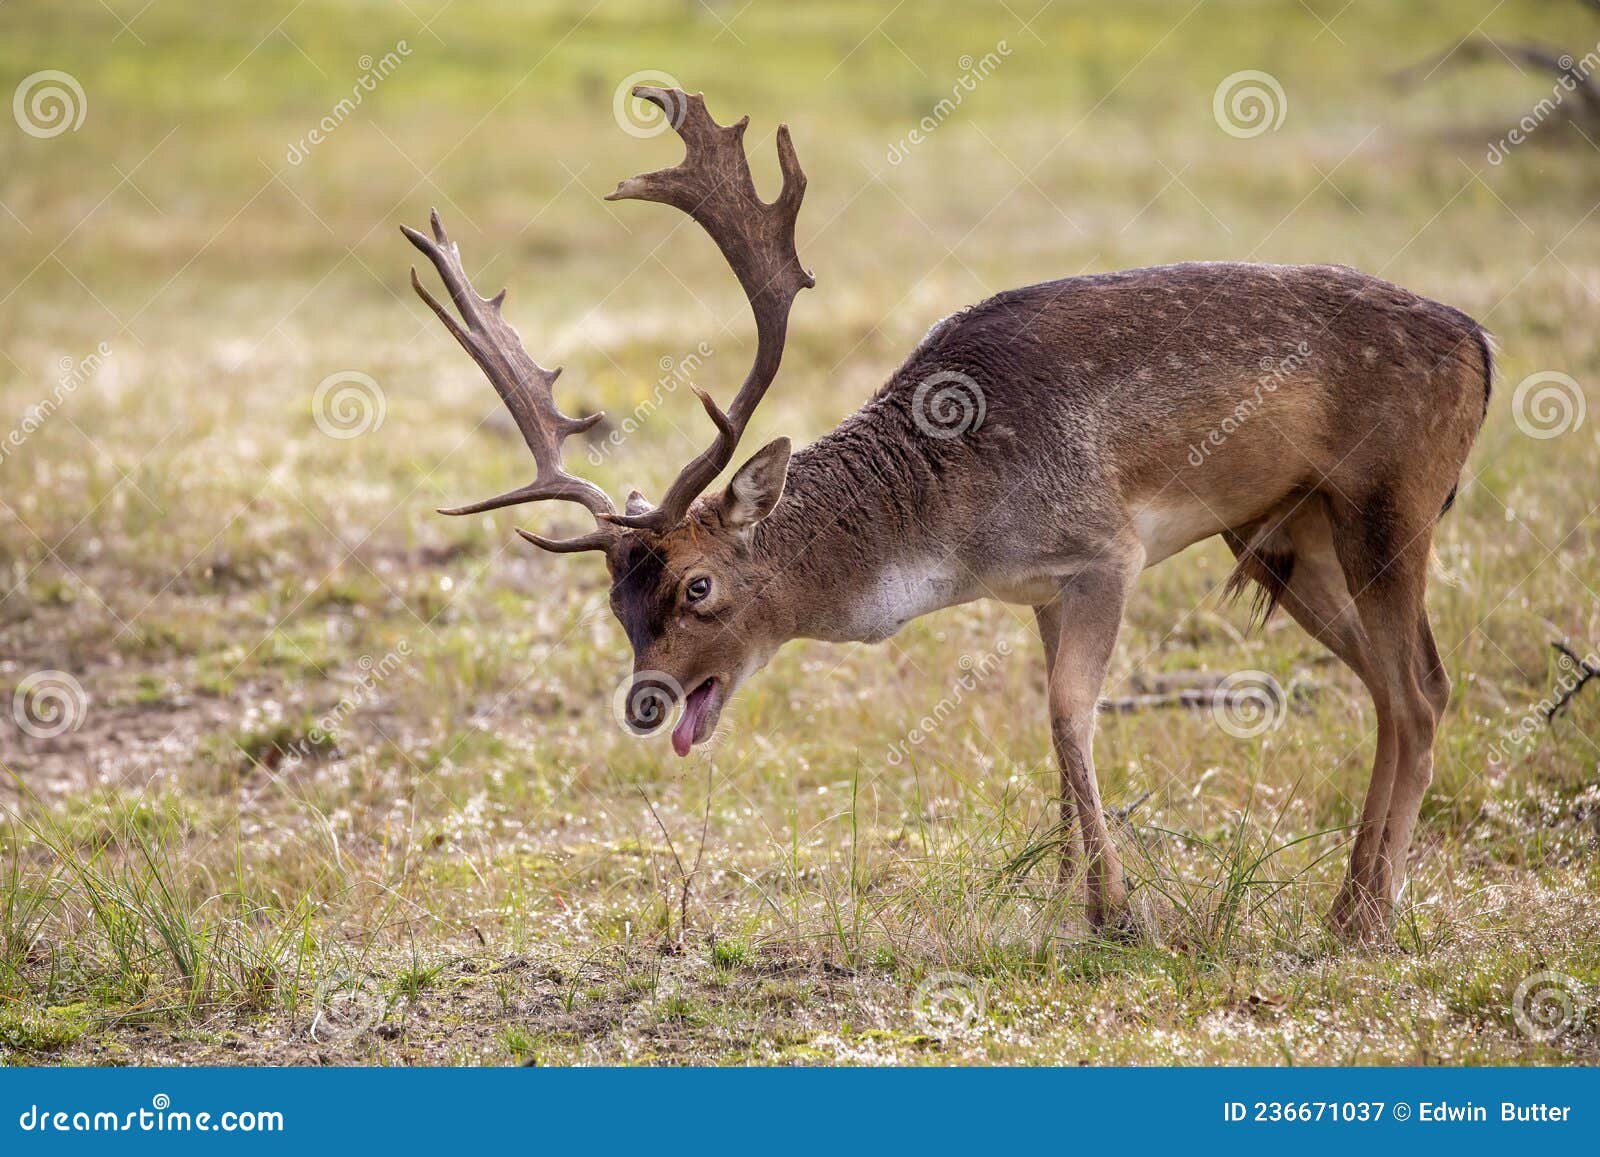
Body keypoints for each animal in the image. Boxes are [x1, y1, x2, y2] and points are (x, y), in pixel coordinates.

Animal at [401, 86, 1492, 945]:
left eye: (698, 583)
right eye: (615, 604)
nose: (644, 702)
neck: (952, 532)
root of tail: (1481, 347)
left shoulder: (1106, 548)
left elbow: (1069, 712)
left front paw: (1116, 910)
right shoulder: (1040, 589)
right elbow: (1050, 725)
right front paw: (1065, 896)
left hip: (1392, 497)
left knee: (1422, 684)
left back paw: (1365, 916)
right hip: (1284, 535)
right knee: (1396, 686)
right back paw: (1350, 903)